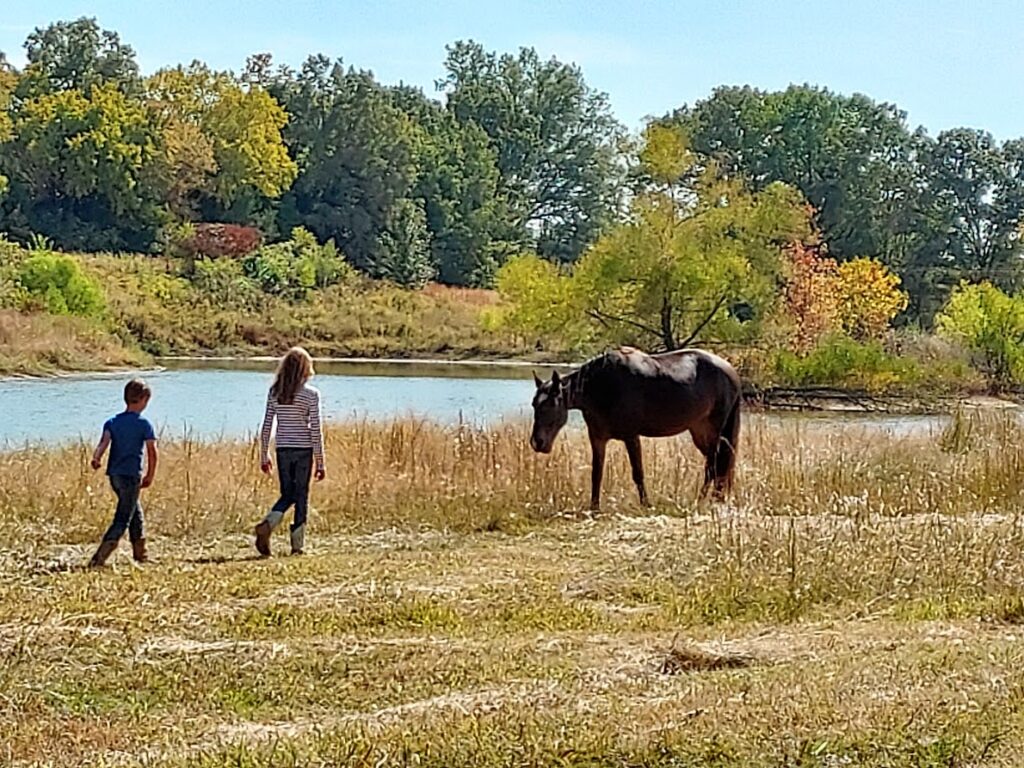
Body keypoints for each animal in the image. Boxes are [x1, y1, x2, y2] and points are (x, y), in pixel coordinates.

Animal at [530, 347, 741, 510]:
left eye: (550, 404)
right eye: (534, 404)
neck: (603, 386)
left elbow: (638, 472)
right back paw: (712, 498)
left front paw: (646, 504)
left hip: (715, 430)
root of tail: (730, 370)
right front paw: (594, 507)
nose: (537, 442)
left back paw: (704, 499)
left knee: (715, 463)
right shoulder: (597, 438)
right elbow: (596, 473)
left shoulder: (631, 436)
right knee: (716, 464)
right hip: (699, 430)